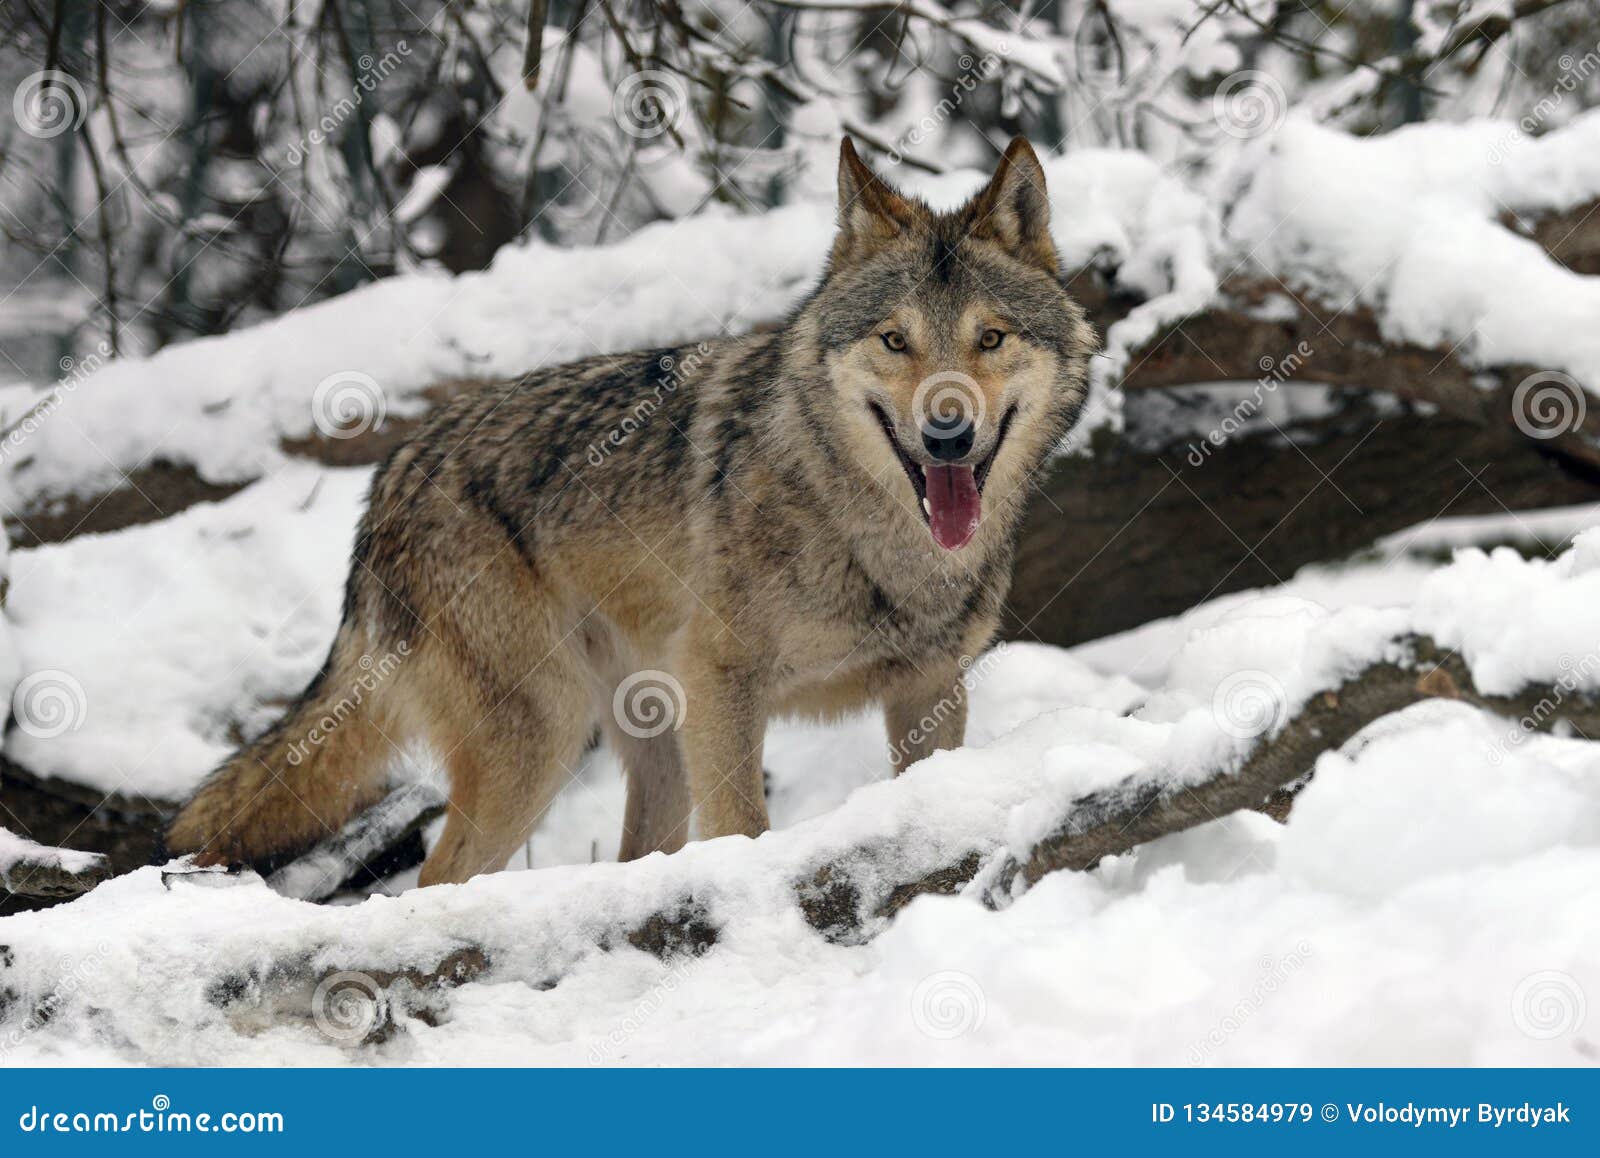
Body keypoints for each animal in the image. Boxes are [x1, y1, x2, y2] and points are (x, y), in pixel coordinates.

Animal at [167, 137, 1096, 886]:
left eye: (991, 338)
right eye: (896, 340)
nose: (948, 433)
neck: (872, 539)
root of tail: (392, 473)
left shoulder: (930, 694)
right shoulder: (723, 681)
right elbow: (745, 827)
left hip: (646, 742)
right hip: (546, 737)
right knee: (434, 883)